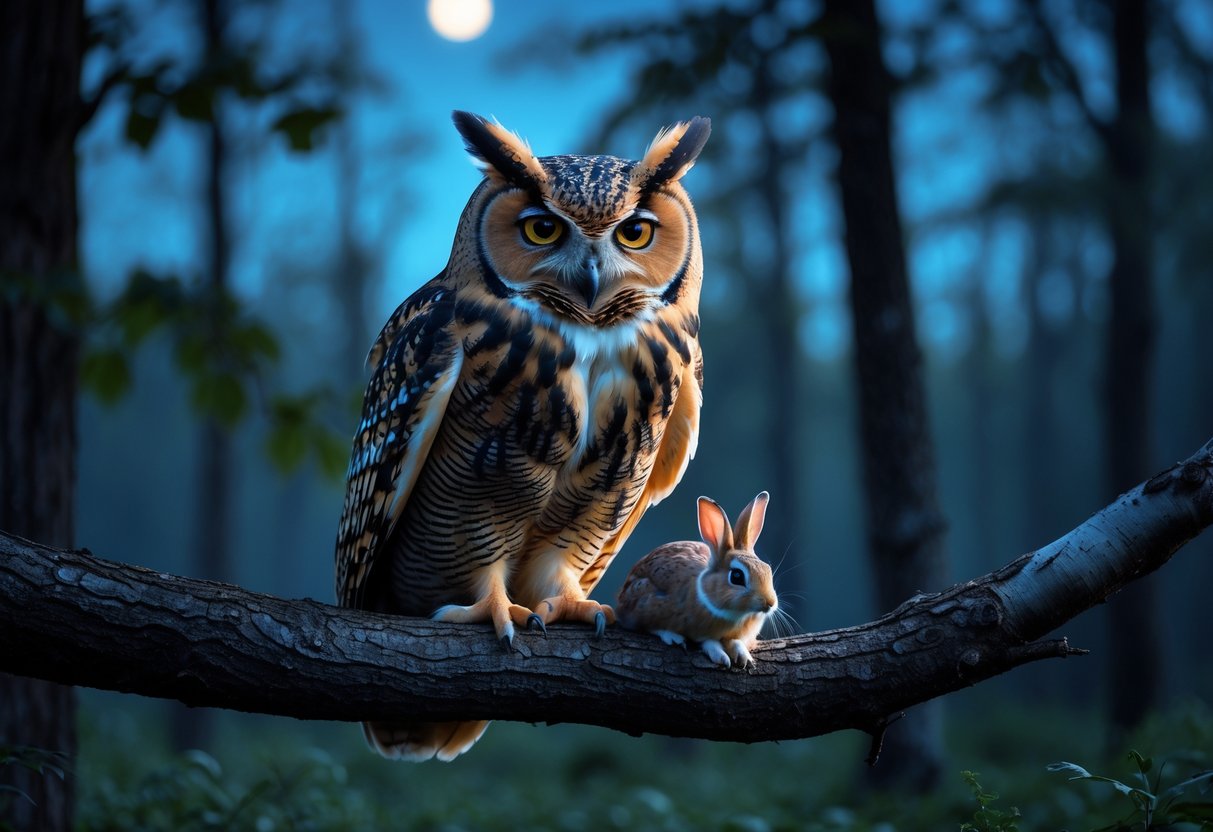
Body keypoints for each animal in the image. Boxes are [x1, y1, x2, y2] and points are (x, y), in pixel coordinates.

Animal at [616, 491, 778, 669]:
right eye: (736, 576)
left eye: (768, 569)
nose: (770, 602)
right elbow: (709, 642)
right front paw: (721, 657)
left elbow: (736, 642)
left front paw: (744, 657)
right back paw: (674, 638)